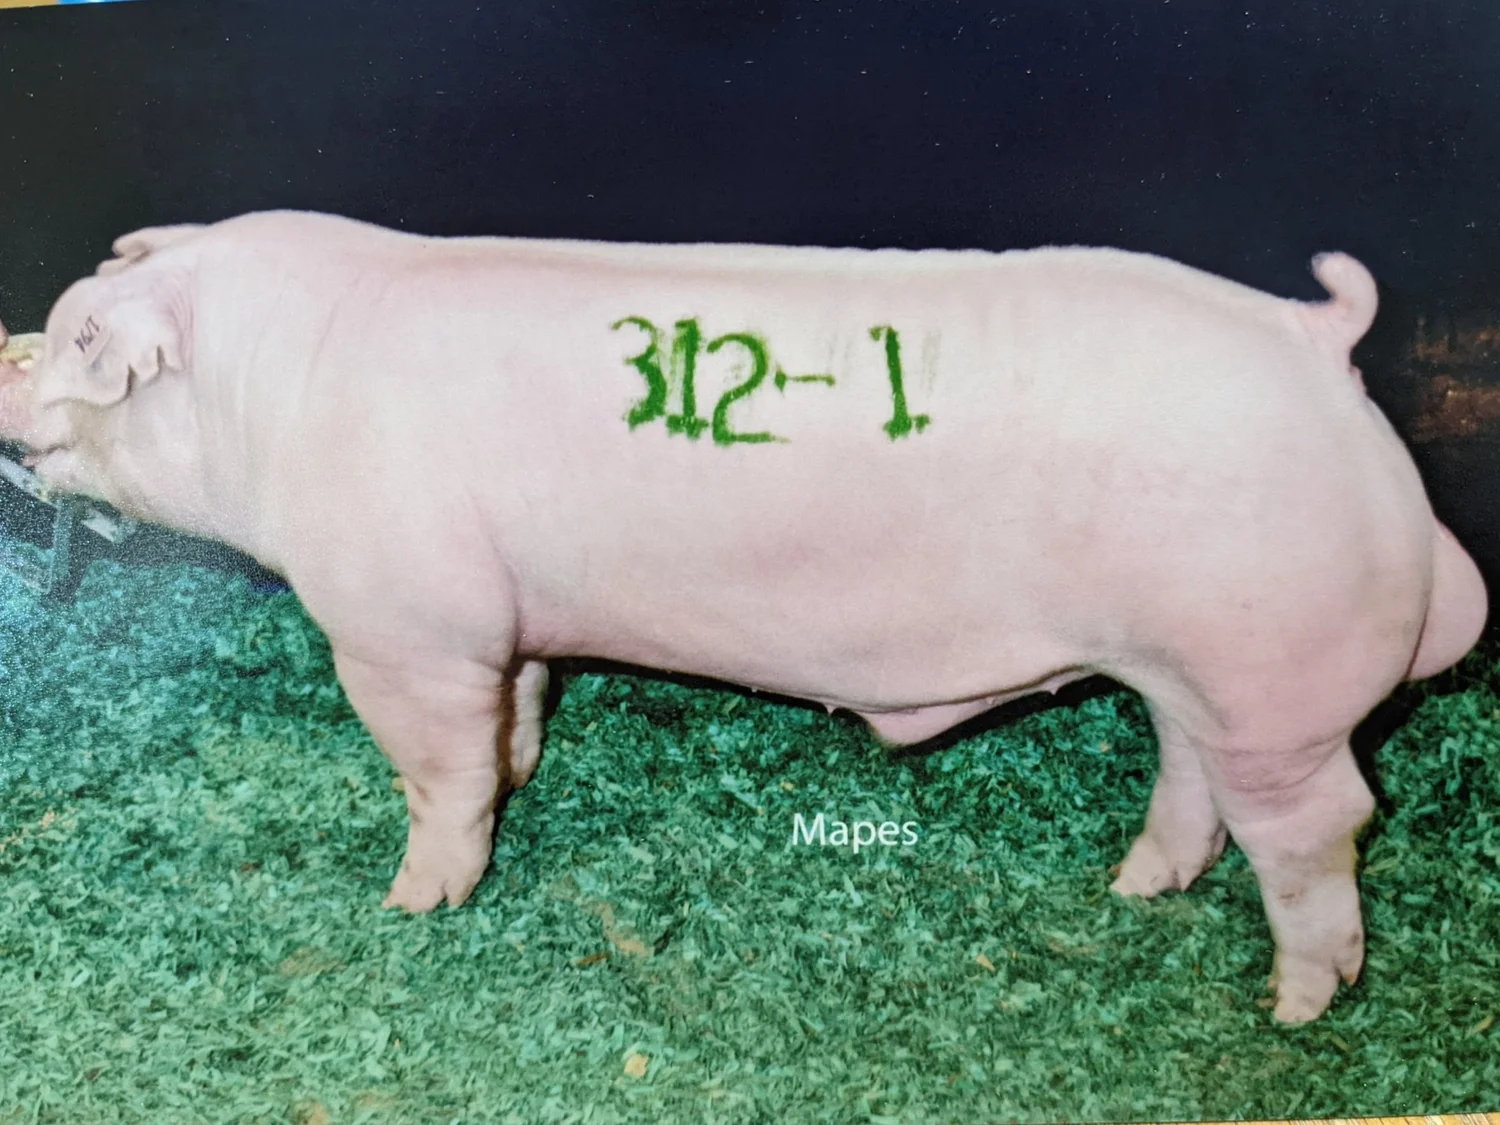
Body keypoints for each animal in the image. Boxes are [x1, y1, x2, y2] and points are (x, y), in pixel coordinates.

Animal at [0, 210, 1486, 1023]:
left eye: (78, 339)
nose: (5, 365)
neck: (277, 391)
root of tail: (1317, 345)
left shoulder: (403, 623)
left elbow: (438, 770)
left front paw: (416, 902)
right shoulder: (509, 621)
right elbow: (517, 711)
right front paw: (524, 771)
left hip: (1271, 671)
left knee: (1321, 823)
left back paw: (1297, 1007)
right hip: (1195, 672)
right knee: (1193, 779)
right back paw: (1136, 888)